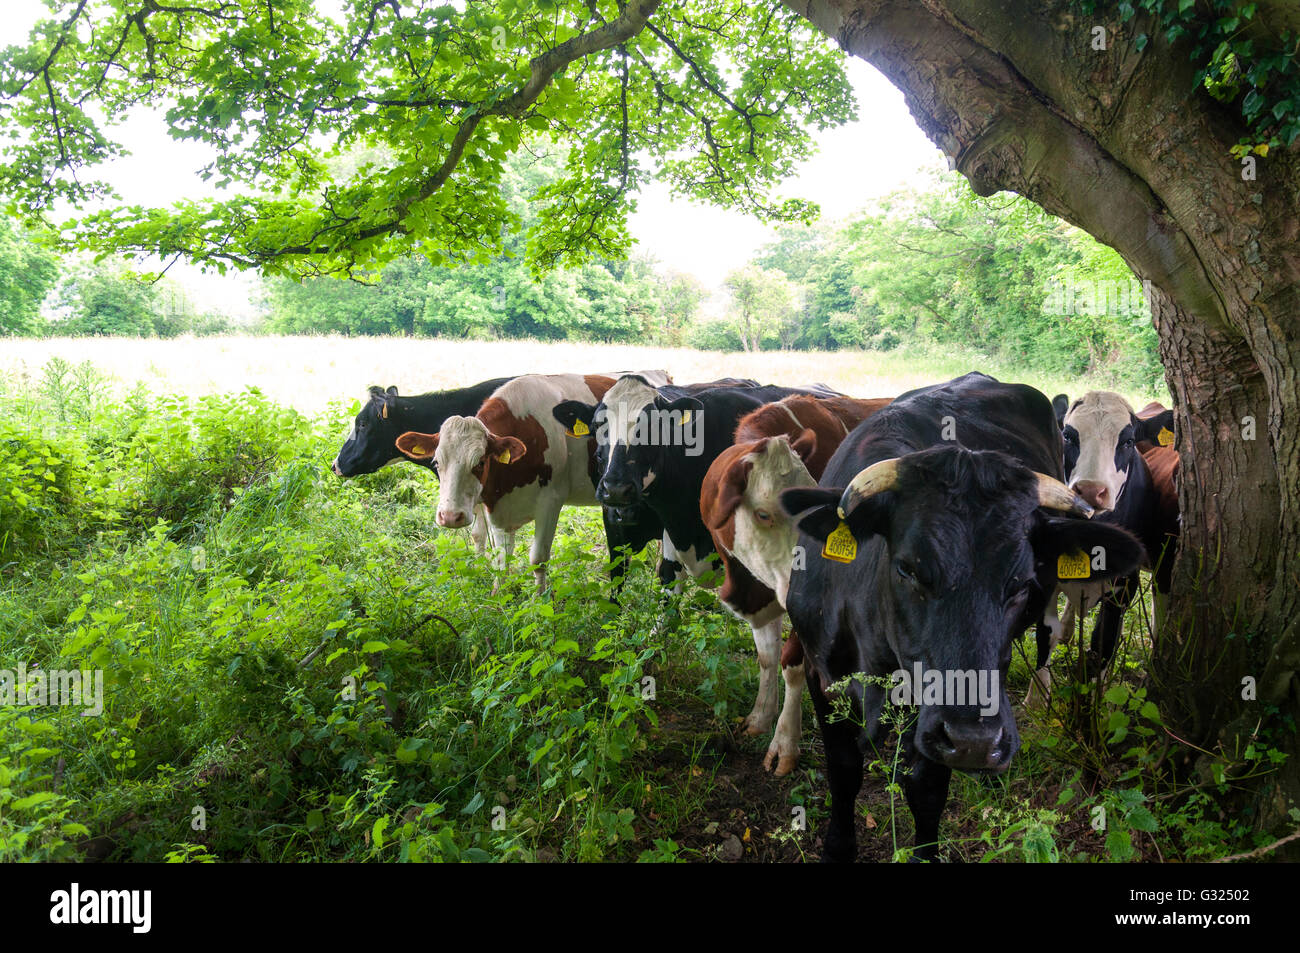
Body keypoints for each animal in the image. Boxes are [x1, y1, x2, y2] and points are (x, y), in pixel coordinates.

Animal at [779, 372, 1143, 861]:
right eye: (908, 569)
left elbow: (927, 788)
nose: (976, 742)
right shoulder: (823, 673)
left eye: (1022, 582)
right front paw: (838, 847)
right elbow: (843, 770)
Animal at [1028, 392, 1178, 703]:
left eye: (1128, 441)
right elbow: (1046, 634)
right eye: (1068, 436)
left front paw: (1092, 702)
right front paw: (1036, 699)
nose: (1089, 491)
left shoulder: (1123, 588)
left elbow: (1102, 644)